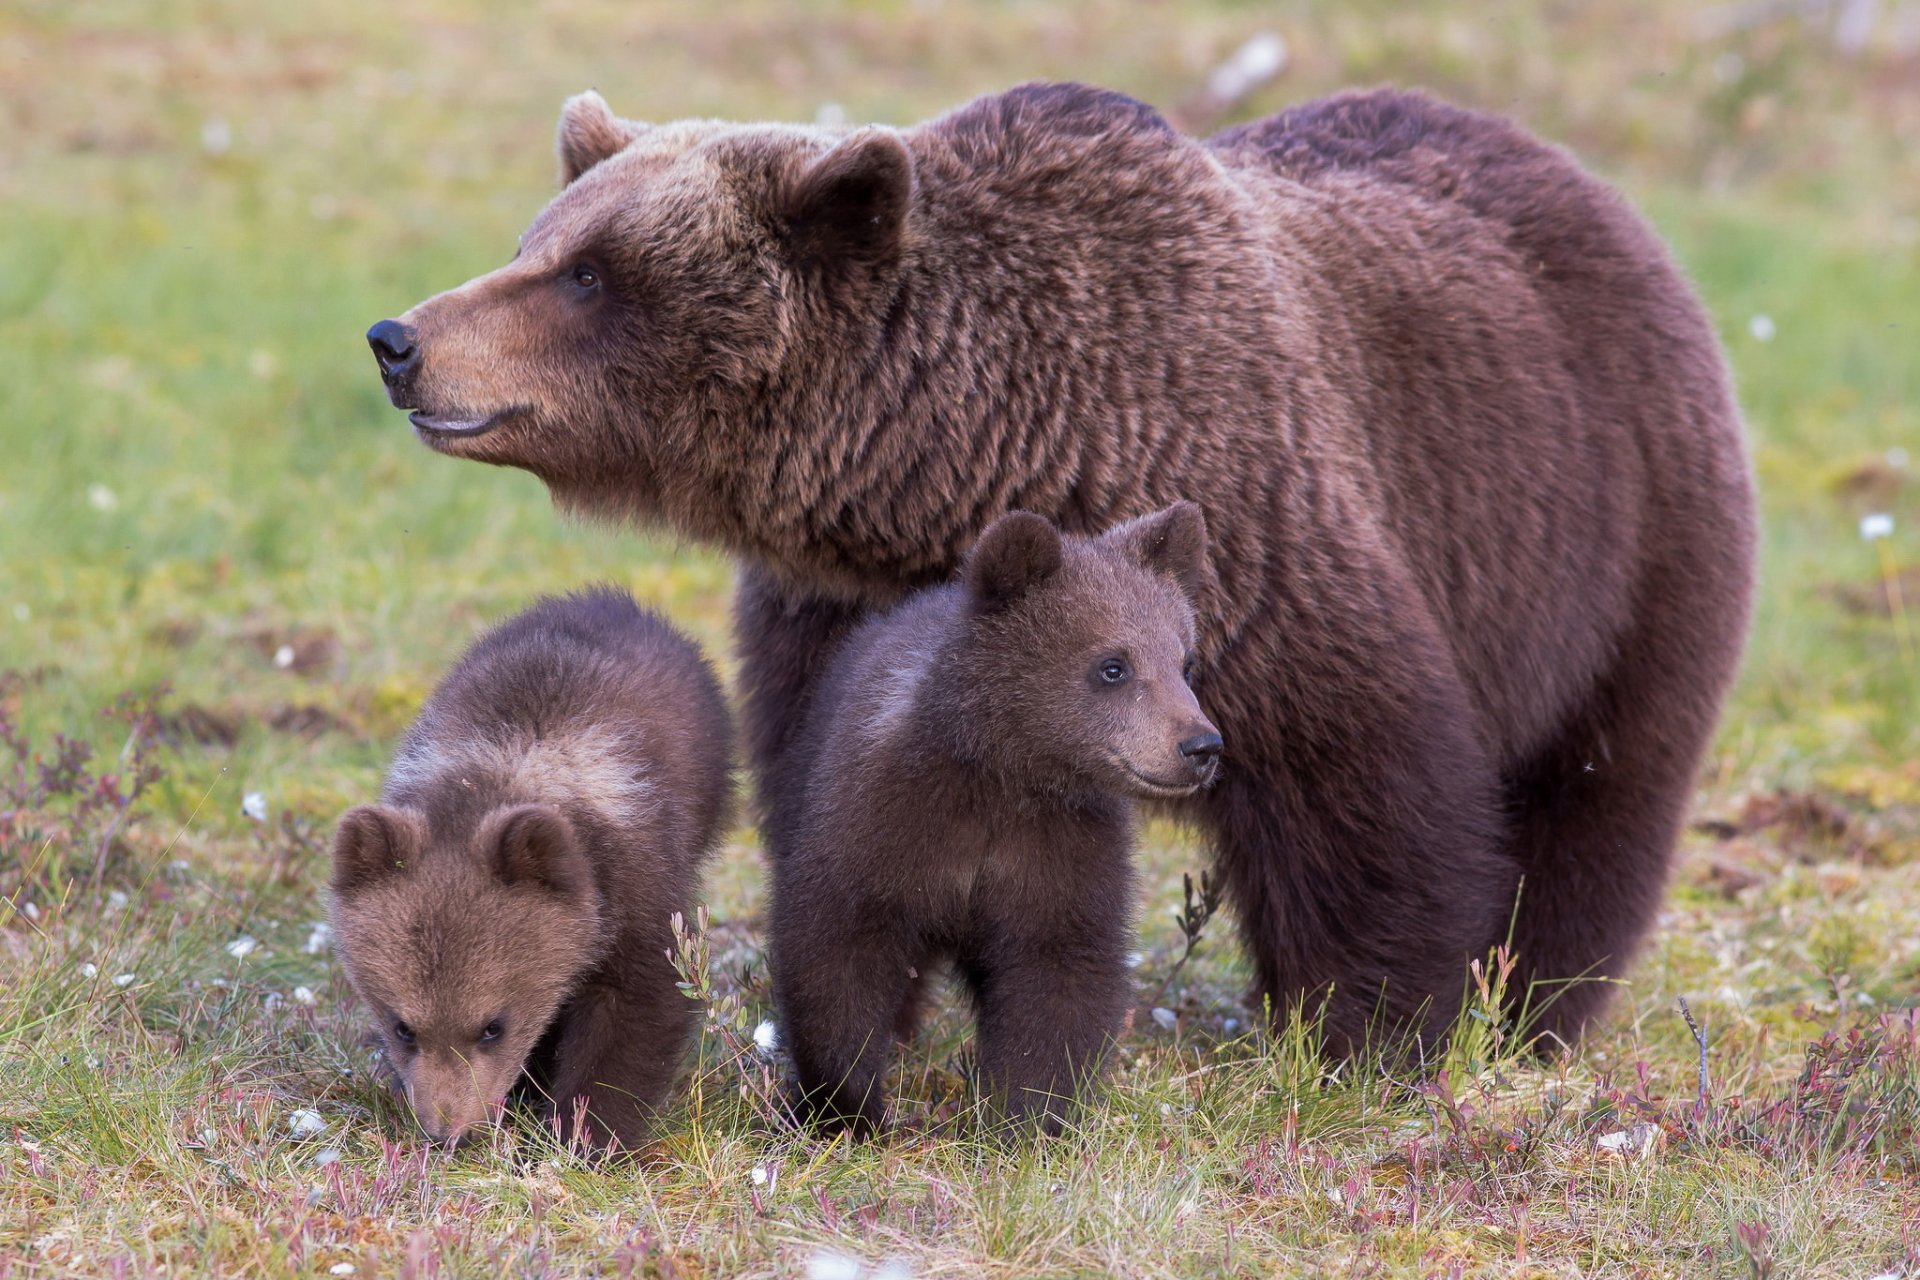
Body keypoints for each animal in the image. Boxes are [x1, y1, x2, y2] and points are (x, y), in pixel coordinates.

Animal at [329, 587, 733, 1151]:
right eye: (403, 1025)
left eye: (492, 1025)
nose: (447, 1131)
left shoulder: (632, 883)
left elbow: (641, 1003)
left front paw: (585, 1134)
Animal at [365, 82, 1756, 1056]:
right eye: (540, 241)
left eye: (590, 274)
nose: (398, 337)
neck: (966, 454)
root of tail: (1597, 192)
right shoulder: (835, 612)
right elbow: (836, 809)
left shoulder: (1253, 526)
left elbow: (1366, 782)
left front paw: (1366, 1030)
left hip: (1613, 527)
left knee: (1596, 793)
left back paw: (1532, 1008)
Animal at [767, 503, 1220, 1136]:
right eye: (1113, 666)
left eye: (1185, 661)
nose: (1200, 745)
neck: (1005, 774)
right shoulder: (883, 824)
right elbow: (836, 948)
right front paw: (846, 1107)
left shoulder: (1061, 846)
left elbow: (1060, 971)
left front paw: (1025, 1116)